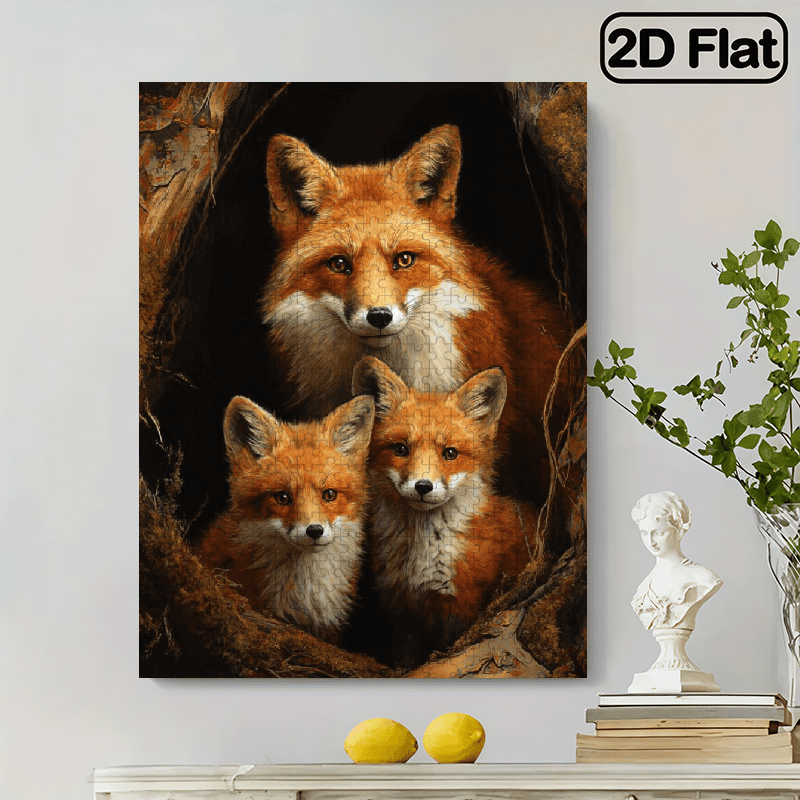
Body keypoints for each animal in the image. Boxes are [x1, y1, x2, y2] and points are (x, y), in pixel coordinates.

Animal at [352, 355, 540, 667]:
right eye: (400, 449)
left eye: (450, 453)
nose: (422, 486)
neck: (422, 555)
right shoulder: (403, 610)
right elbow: (404, 660)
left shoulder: (461, 605)